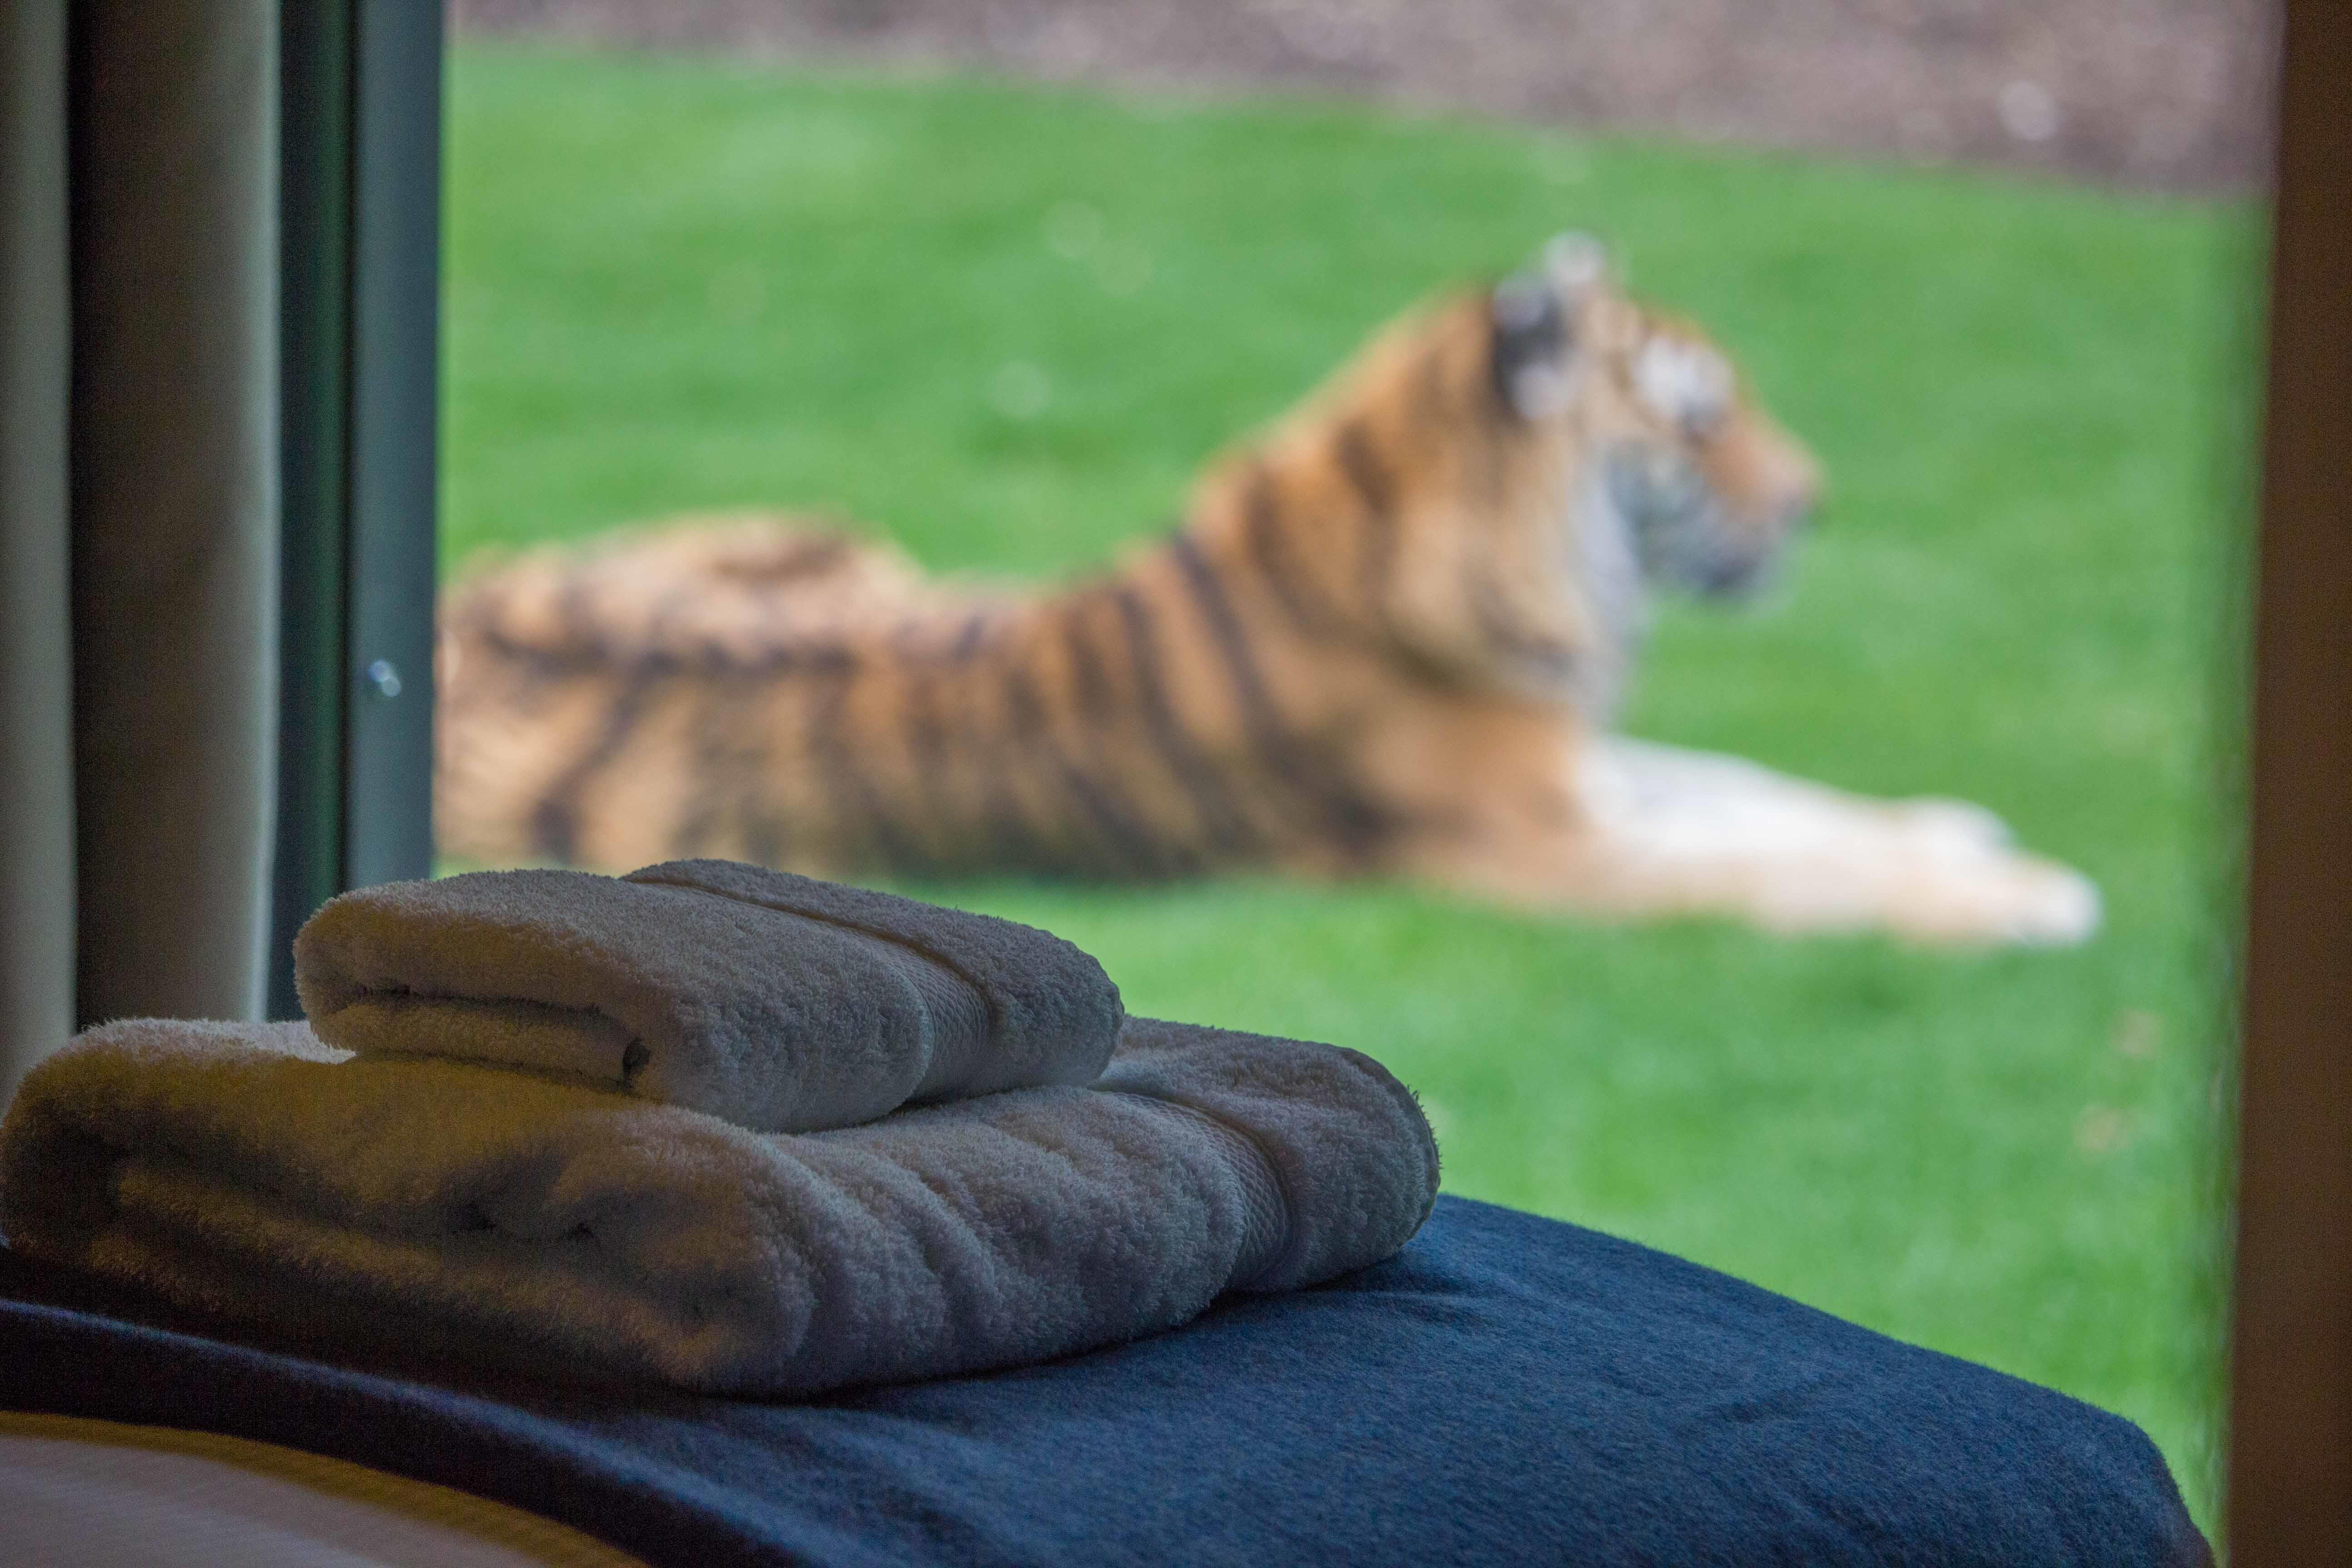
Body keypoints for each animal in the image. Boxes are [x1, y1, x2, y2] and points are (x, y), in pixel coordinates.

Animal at [435, 235, 2099, 946]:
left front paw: (1957, 827)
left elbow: (1759, 789)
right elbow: (1763, 870)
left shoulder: (1581, 770)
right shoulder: (1529, 850)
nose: (1814, 500)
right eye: (1701, 418)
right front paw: (2028, 898)